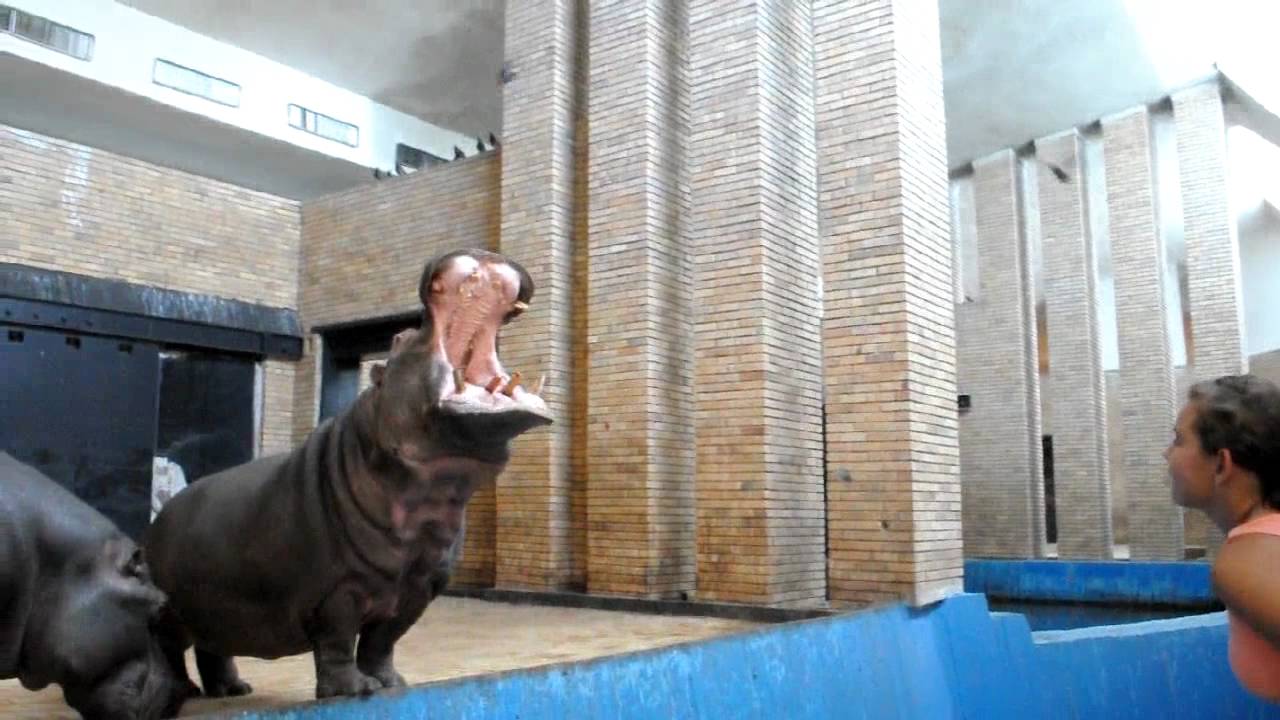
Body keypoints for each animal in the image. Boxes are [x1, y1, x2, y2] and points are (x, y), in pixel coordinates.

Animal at [143, 248, 552, 700]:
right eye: (399, 339)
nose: (485, 254)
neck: (430, 500)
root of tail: (163, 514)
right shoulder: (337, 591)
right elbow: (339, 642)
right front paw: (353, 690)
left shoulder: (417, 589)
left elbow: (382, 641)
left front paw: (391, 683)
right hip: (172, 613)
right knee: (169, 649)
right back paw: (183, 693)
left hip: (216, 609)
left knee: (213, 647)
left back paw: (234, 691)